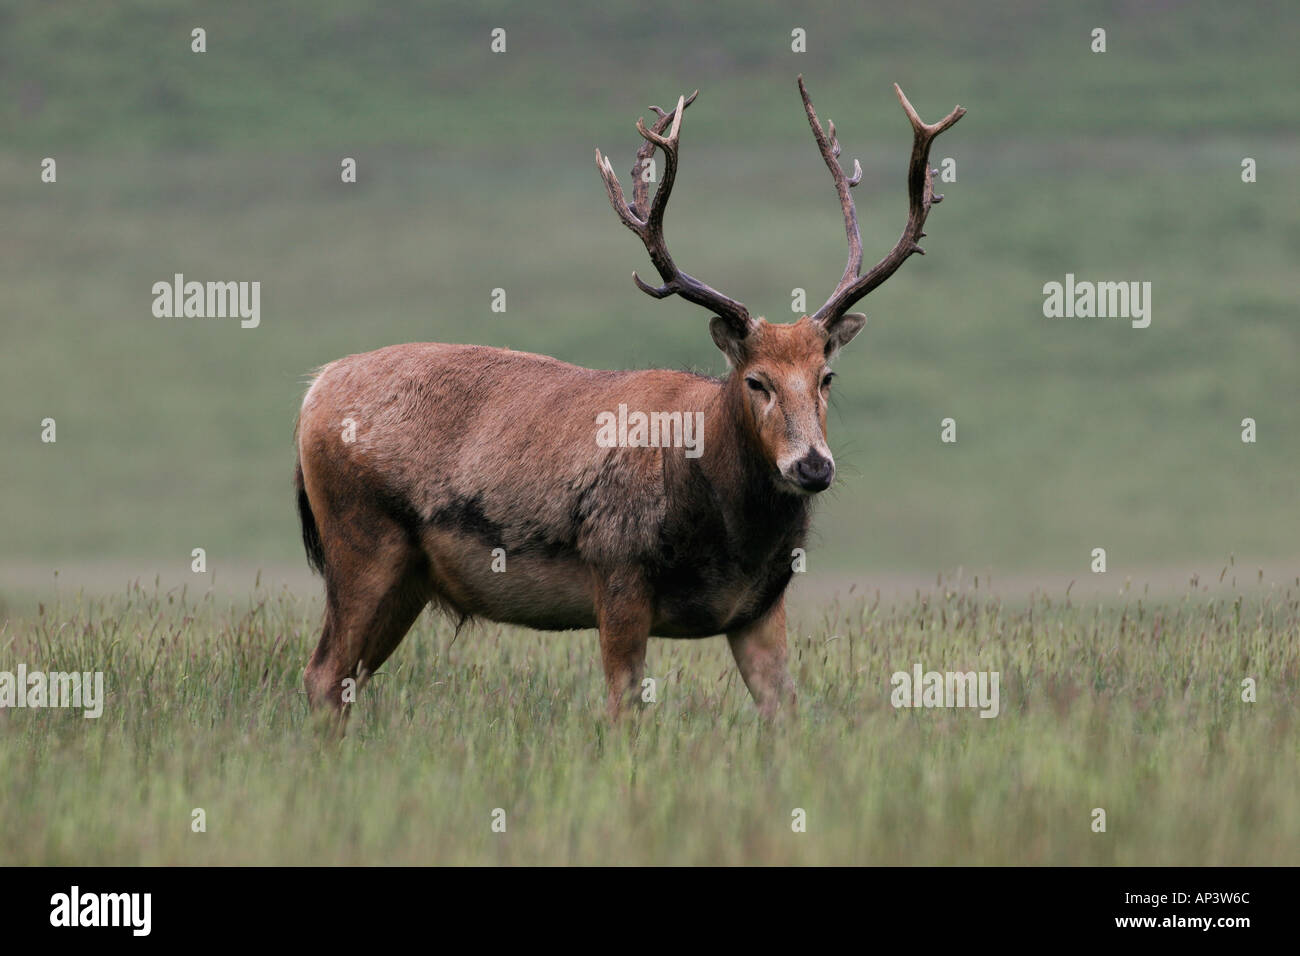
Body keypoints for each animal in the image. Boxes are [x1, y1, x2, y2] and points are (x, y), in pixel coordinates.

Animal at [293, 75, 964, 721]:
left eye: (826, 376)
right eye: (756, 380)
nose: (813, 466)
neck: (726, 531)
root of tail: (312, 392)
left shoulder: (758, 608)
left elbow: (786, 710)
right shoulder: (616, 574)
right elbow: (623, 711)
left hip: (407, 580)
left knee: (344, 679)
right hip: (361, 541)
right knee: (323, 674)